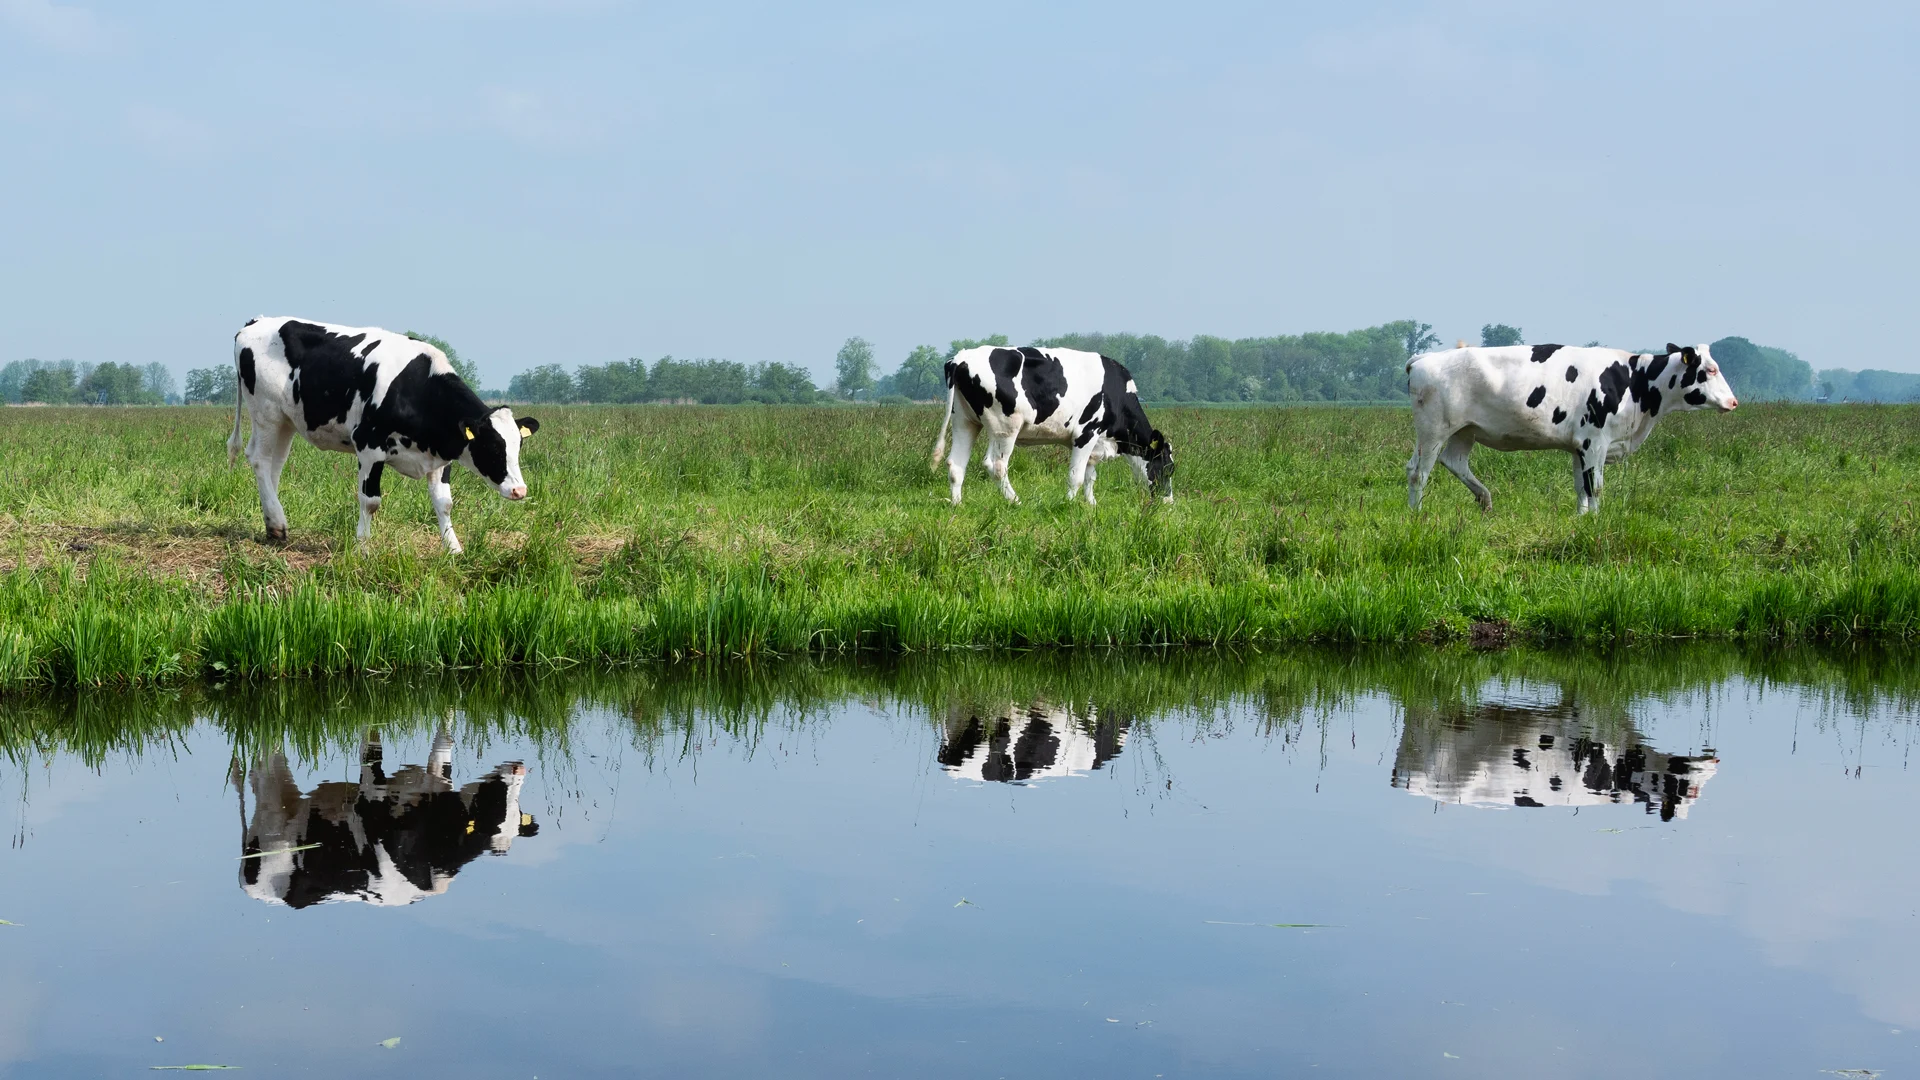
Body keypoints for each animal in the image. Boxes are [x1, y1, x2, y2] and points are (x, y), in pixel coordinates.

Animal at [227, 316, 540, 553]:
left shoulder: (442, 457)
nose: (520, 490)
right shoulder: (368, 445)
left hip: (286, 421)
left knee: (274, 465)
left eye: (518, 446)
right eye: (493, 447)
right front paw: (363, 548)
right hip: (266, 413)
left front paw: (453, 549)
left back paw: (273, 524)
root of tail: (256, 322)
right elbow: (371, 501)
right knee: (259, 459)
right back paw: (277, 522)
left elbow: (444, 503)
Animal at [931, 345, 1173, 506]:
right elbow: (1076, 476)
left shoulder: (1095, 442)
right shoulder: (1086, 433)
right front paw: (1069, 505)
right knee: (995, 465)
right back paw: (1016, 501)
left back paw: (957, 504)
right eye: (1168, 468)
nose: (1168, 502)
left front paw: (1091, 504)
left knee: (956, 464)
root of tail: (962, 357)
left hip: (965, 422)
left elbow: (1090, 476)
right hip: (1005, 428)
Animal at [1405, 342, 1739, 514]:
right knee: (1419, 472)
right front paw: (1597, 520)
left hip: (1464, 431)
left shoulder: (1580, 446)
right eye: (1710, 370)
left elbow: (1581, 486)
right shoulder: (1596, 441)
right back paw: (1417, 514)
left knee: (1453, 462)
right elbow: (1595, 486)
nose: (1734, 402)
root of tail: (1426, 356)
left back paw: (1484, 500)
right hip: (1433, 429)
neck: (1635, 379)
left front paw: (1581, 518)